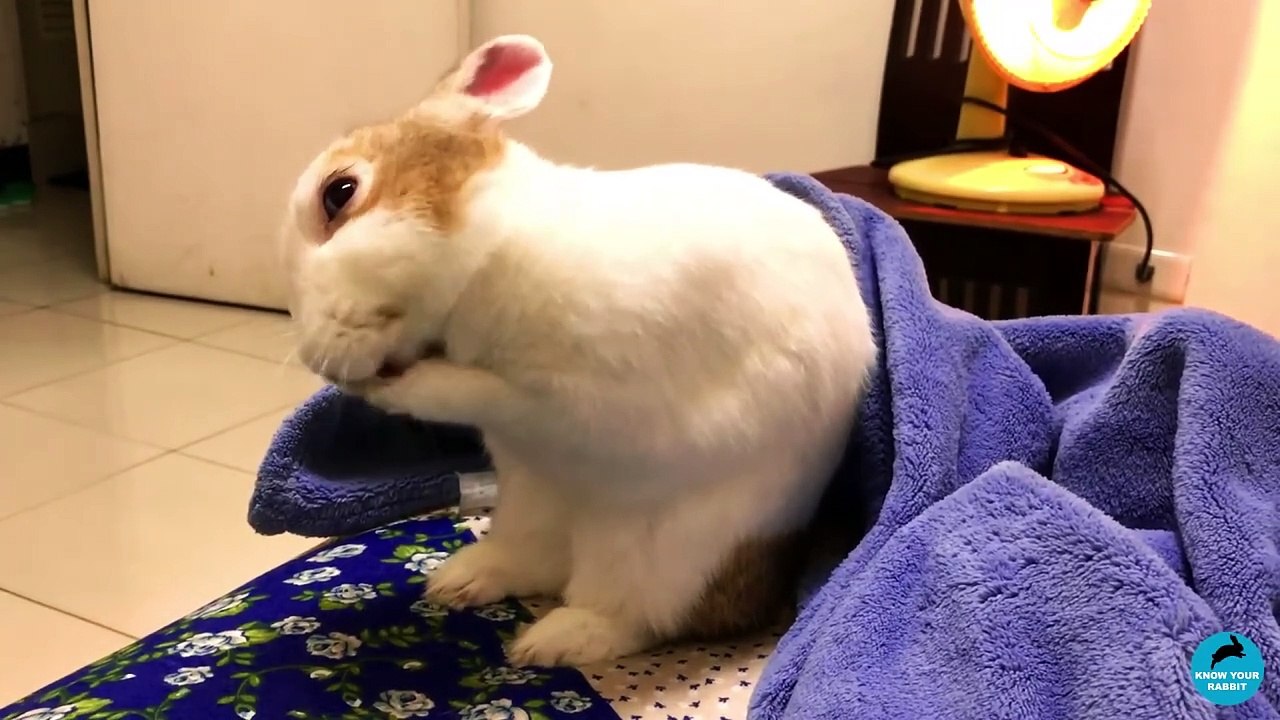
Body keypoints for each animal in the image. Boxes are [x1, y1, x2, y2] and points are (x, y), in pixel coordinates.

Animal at [279, 34, 877, 668]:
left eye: (339, 193)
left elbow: (477, 392)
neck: (494, 251)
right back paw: (457, 581)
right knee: (532, 563)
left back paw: (549, 642)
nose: (317, 359)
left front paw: (392, 385)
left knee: (638, 618)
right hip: (532, 504)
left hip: (667, 556)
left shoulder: (581, 401)